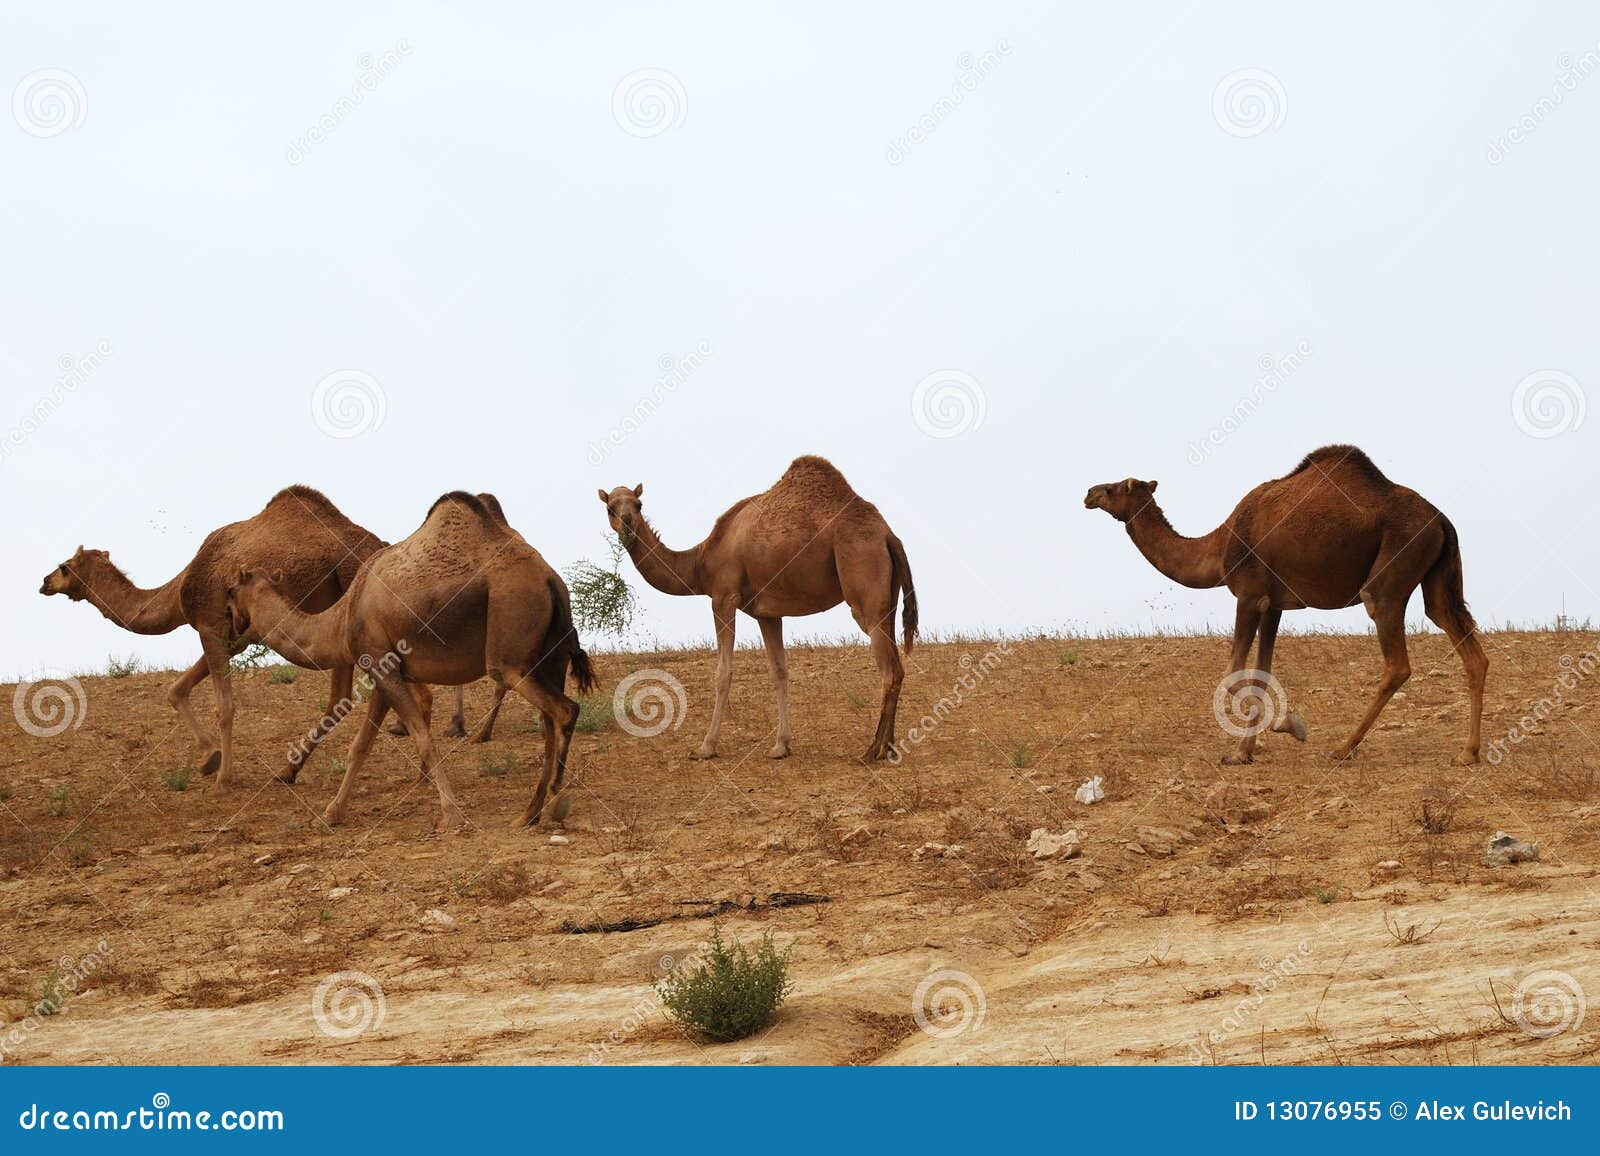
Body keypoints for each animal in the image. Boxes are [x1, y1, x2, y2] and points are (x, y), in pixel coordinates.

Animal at [224, 491, 594, 829]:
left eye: (230, 591)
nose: (231, 624)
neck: (343, 617)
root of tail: (551, 581)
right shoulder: (383, 669)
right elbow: (361, 745)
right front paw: (331, 813)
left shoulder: (381, 665)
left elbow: (423, 739)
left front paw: (451, 814)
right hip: (550, 656)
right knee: (549, 720)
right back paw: (528, 813)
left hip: (510, 638)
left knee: (563, 710)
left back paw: (554, 805)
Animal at [600, 455, 916, 761]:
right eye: (610, 508)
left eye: (638, 504)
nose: (627, 524)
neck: (700, 562)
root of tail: (888, 536)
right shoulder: (767, 613)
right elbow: (779, 671)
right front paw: (781, 746)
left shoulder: (723, 597)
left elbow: (723, 673)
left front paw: (705, 747)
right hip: (887, 599)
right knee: (898, 667)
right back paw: (887, 748)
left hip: (864, 586)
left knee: (888, 669)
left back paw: (871, 751)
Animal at [1085, 445, 1487, 766]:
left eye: (1113, 488)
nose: (1087, 492)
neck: (1219, 545)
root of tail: (1441, 520)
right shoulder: (1274, 603)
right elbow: (1261, 672)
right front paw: (1242, 752)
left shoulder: (1249, 594)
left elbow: (1233, 671)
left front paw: (1289, 725)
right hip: (1437, 576)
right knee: (1462, 640)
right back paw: (1468, 752)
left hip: (1391, 572)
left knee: (1396, 658)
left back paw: (1343, 747)